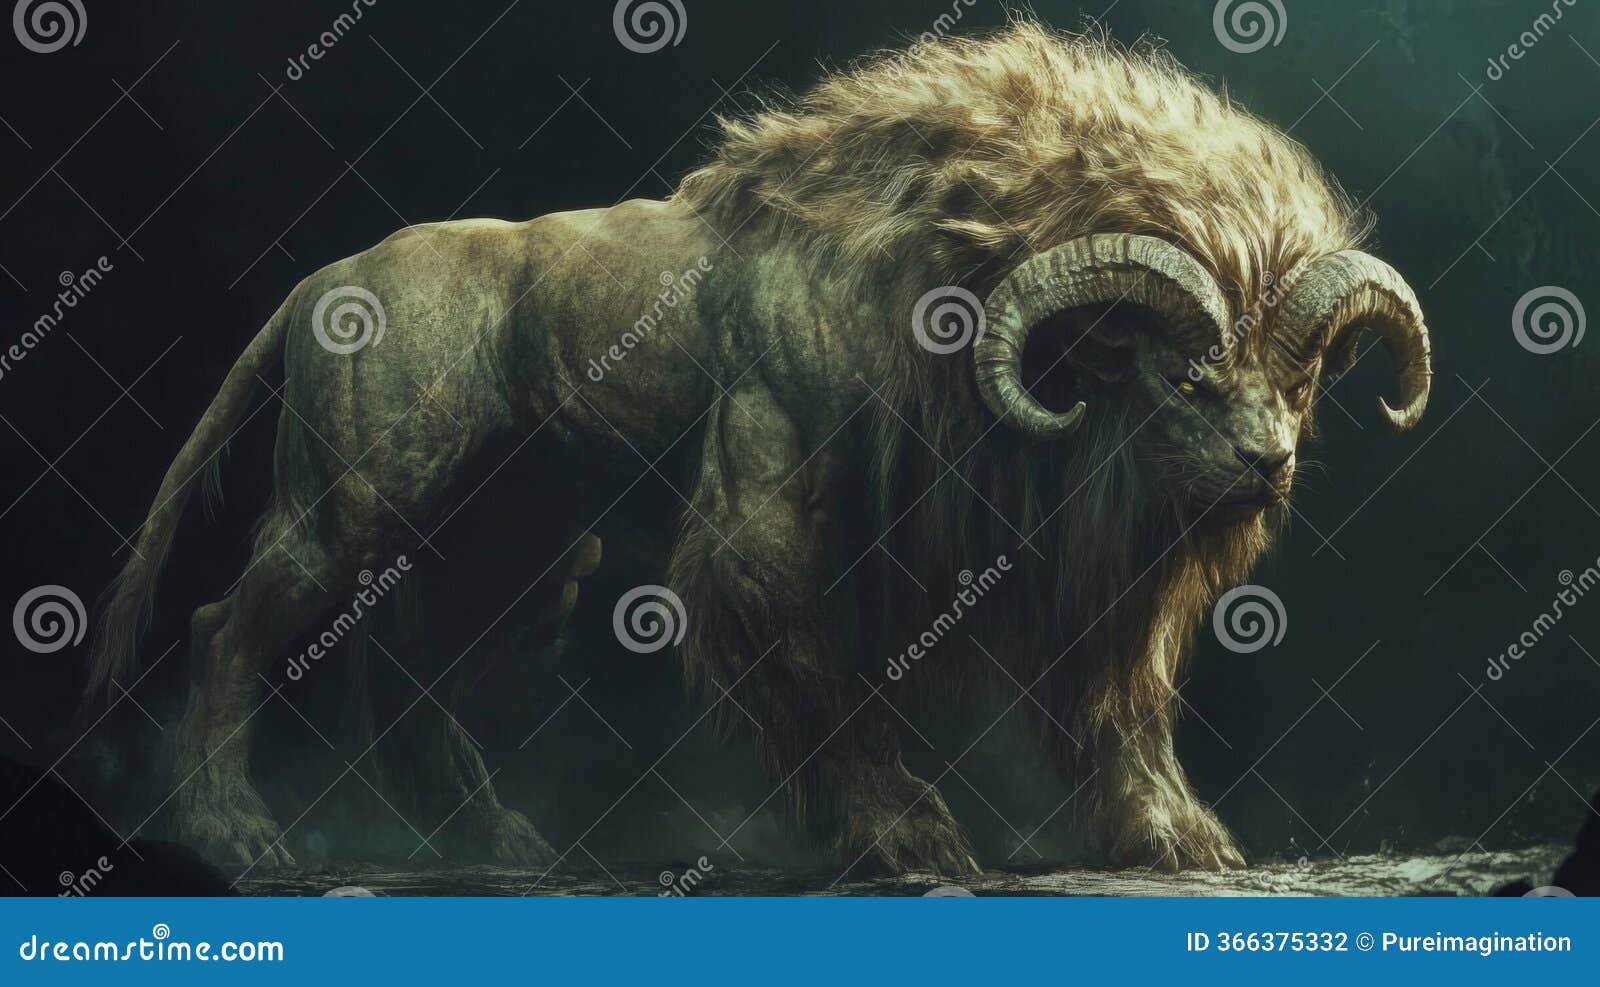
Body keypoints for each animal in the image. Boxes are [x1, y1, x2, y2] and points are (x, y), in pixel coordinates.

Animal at [88, 21, 1430, 874]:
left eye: (1299, 380)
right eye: (1185, 374)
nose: (1267, 466)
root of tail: (320, 279)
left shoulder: (1097, 583)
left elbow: (1119, 709)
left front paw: (1177, 839)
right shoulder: (763, 522)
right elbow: (824, 688)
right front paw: (905, 838)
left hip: (512, 551)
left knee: (405, 674)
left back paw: (499, 842)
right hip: (351, 507)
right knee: (223, 627)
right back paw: (237, 835)